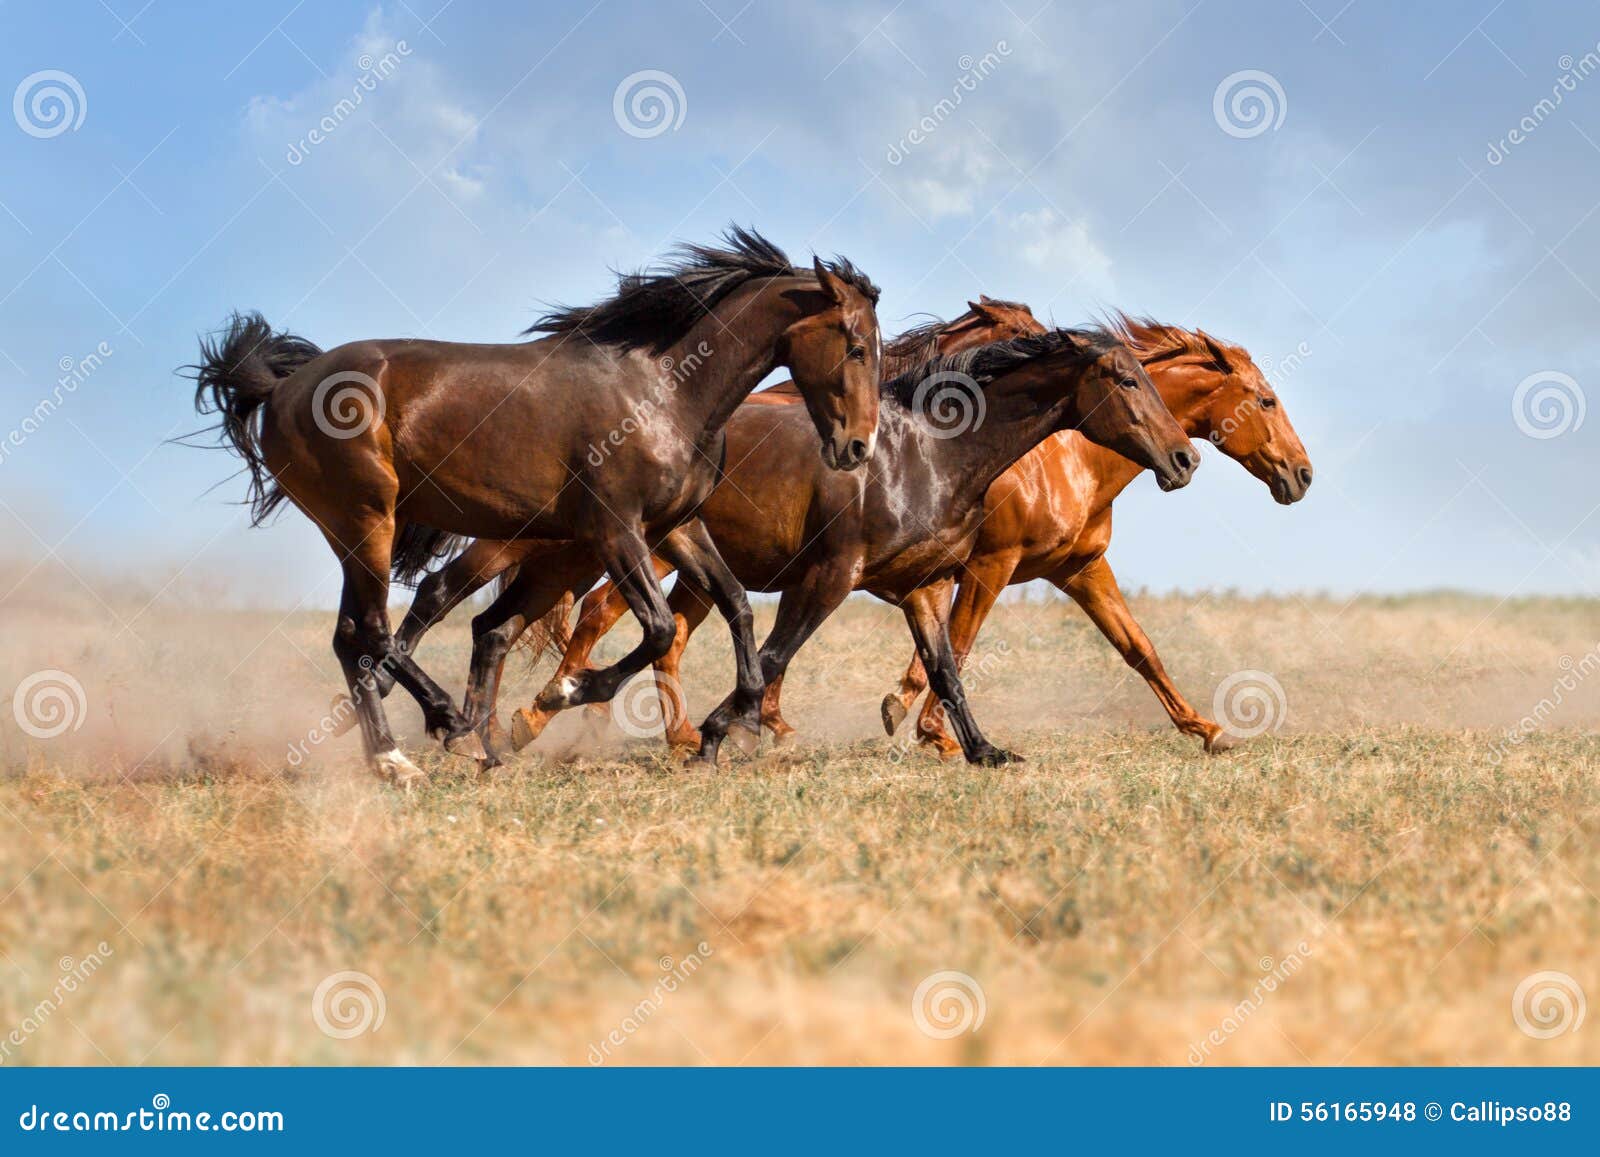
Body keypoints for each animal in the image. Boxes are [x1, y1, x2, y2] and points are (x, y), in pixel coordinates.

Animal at [188, 228, 883, 782]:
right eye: (854, 345)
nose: (857, 447)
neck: (664, 390)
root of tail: (282, 386)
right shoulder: (615, 531)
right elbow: (659, 628)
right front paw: (564, 694)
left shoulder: (676, 526)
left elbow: (736, 605)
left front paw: (727, 732)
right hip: (366, 522)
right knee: (377, 630)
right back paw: (441, 738)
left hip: (357, 533)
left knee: (352, 636)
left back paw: (404, 752)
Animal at [380, 296, 1046, 752]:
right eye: (1025, 333)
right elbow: (753, 643)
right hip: (534, 547)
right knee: (448, 597)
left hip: (569, 559)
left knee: (498, 624)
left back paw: (495, 727)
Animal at [506, 325, 1200, 765]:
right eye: (1125, 379)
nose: (1183, 459)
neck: (925, 457)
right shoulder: (832, 576)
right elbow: (774, 656)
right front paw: (720, 736)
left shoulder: (924, 587)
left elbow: (946, 670)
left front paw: (983, 751)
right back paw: (540, 714)